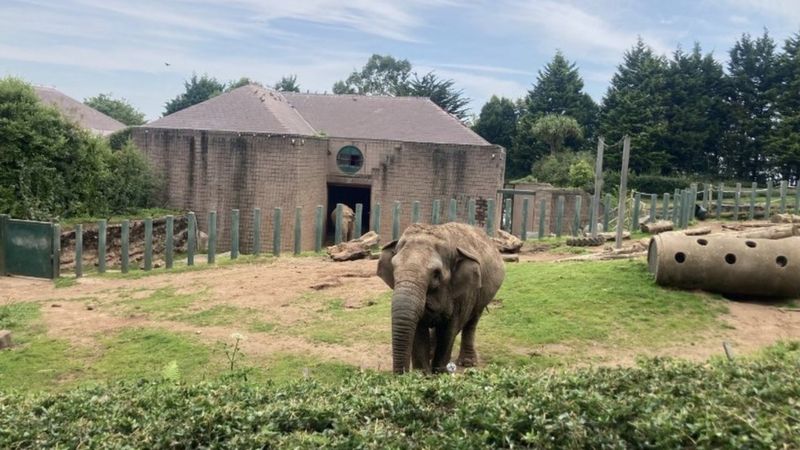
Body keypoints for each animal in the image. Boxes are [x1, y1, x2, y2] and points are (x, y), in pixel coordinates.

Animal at [377, 222, 505, 374]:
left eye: (436, 274)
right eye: (393, 268)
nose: (402, 374)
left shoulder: (463, 293)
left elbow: (449, 330)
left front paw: (439, 373)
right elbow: (419, 329)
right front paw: (422, 375)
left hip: (482, 294)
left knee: (472, 321)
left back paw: (467, 362)